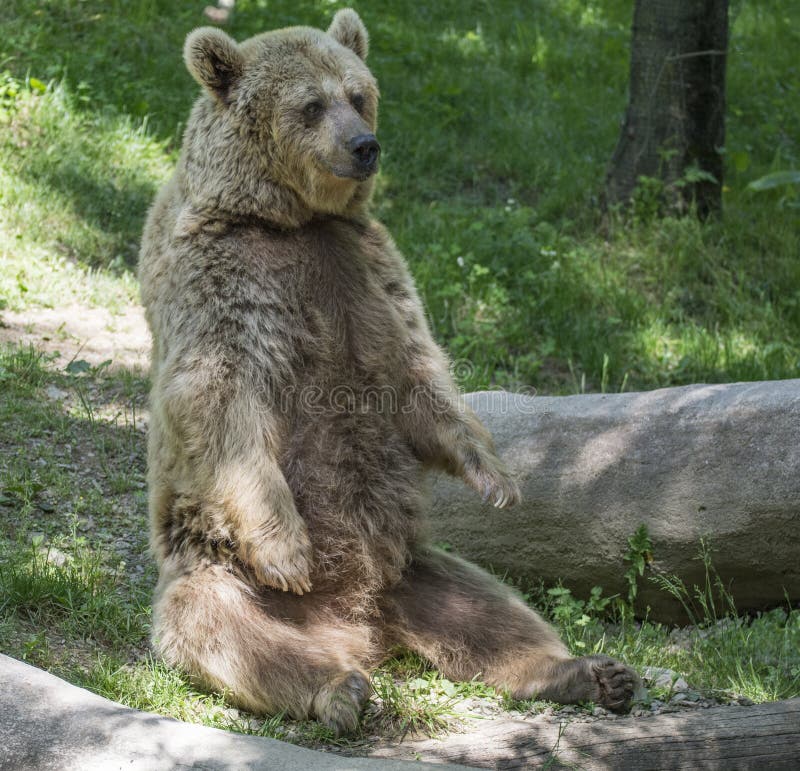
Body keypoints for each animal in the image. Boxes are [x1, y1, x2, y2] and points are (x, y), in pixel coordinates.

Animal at [138, 9, 639, 736]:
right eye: (311, 104)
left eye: (359, 94)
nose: (364, 146)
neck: (290, 218)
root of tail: (361, 621)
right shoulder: (225, 278)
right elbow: (222, 400)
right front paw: (290, 551)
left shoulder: (369, 272)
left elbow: (418, 373)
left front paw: (496, 477)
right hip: (220, 567)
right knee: (222, 628)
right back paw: (339, 687)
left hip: (420, 568)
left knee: (495, 610)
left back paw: (587, 671)